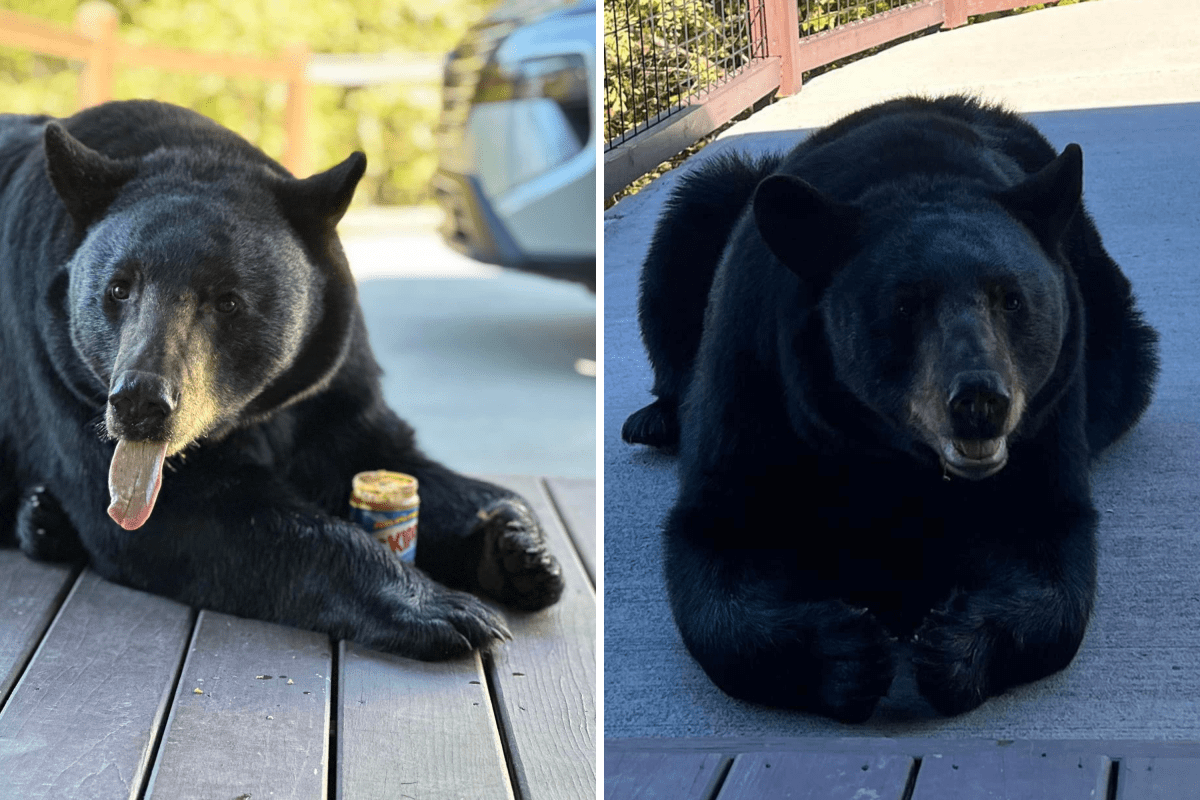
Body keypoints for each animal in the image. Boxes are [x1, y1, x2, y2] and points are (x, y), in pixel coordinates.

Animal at [0, 100, 564, 660]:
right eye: (118, 289)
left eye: (228, 300)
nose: (140, 402)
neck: (255, 407)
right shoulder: (63, 378)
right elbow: (175, 517)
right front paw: (442, 607)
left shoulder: (327, 385)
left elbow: (385, 456)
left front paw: (517, 546)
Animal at [622, 95, 1159, 721]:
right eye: (906, 306)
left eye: (1012, 300)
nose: (980, 401)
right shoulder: (755, 378)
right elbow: (717, 538)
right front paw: (847, 654)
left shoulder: (1047, 418)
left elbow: (1052, 546)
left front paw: (952, 646)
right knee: (686, 224)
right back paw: (656, 418)